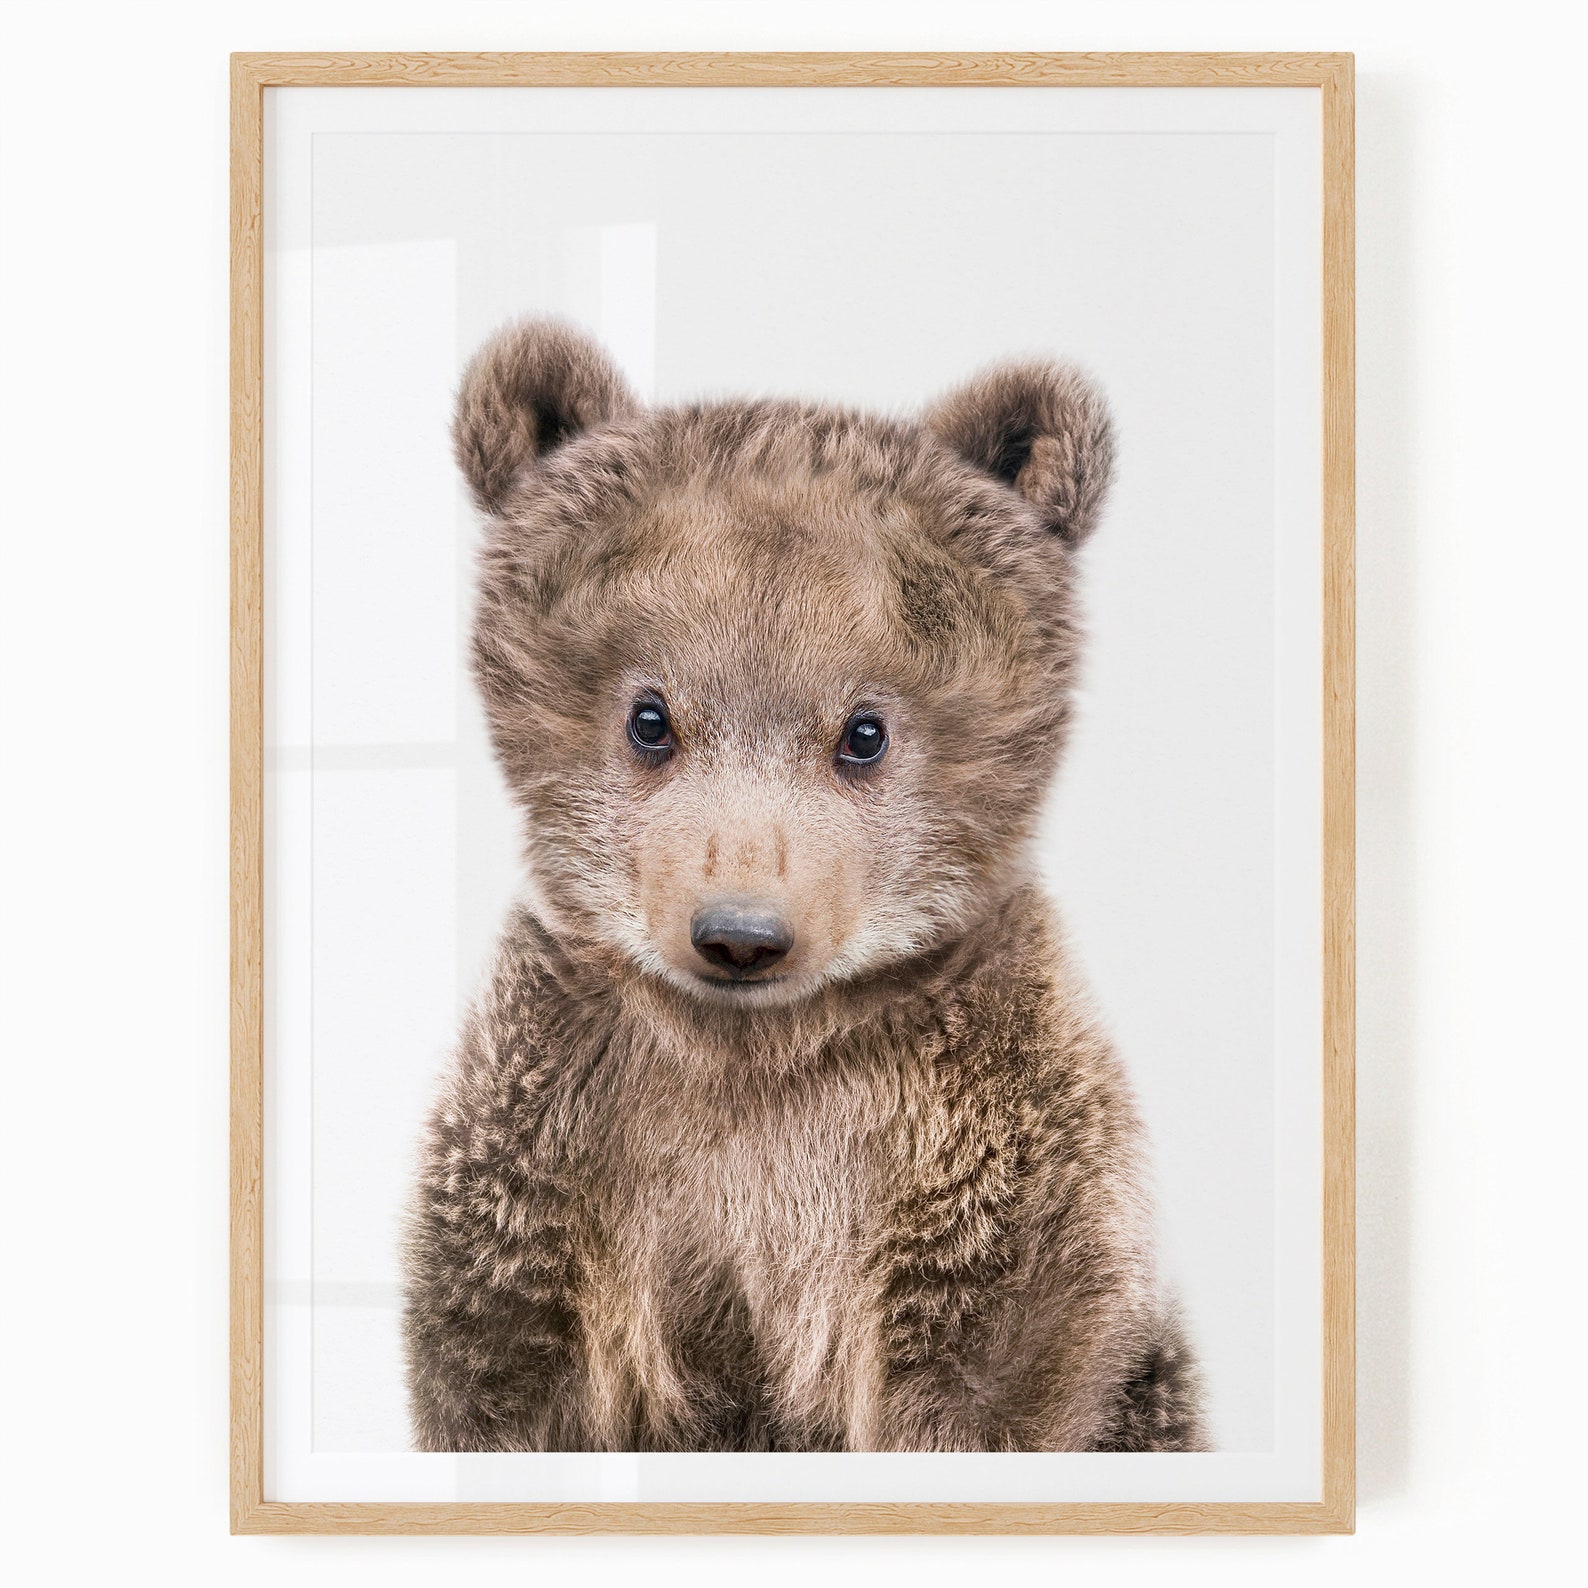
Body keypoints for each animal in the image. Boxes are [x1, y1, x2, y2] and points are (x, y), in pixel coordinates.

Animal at [401, 319, 1207, 1454]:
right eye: (650, 716)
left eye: (864, 731)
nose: (740, 932)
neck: (754, 1053)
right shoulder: (553, 1137)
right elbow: (499, 1369)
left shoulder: (985, 1144)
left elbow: (989, 1374)